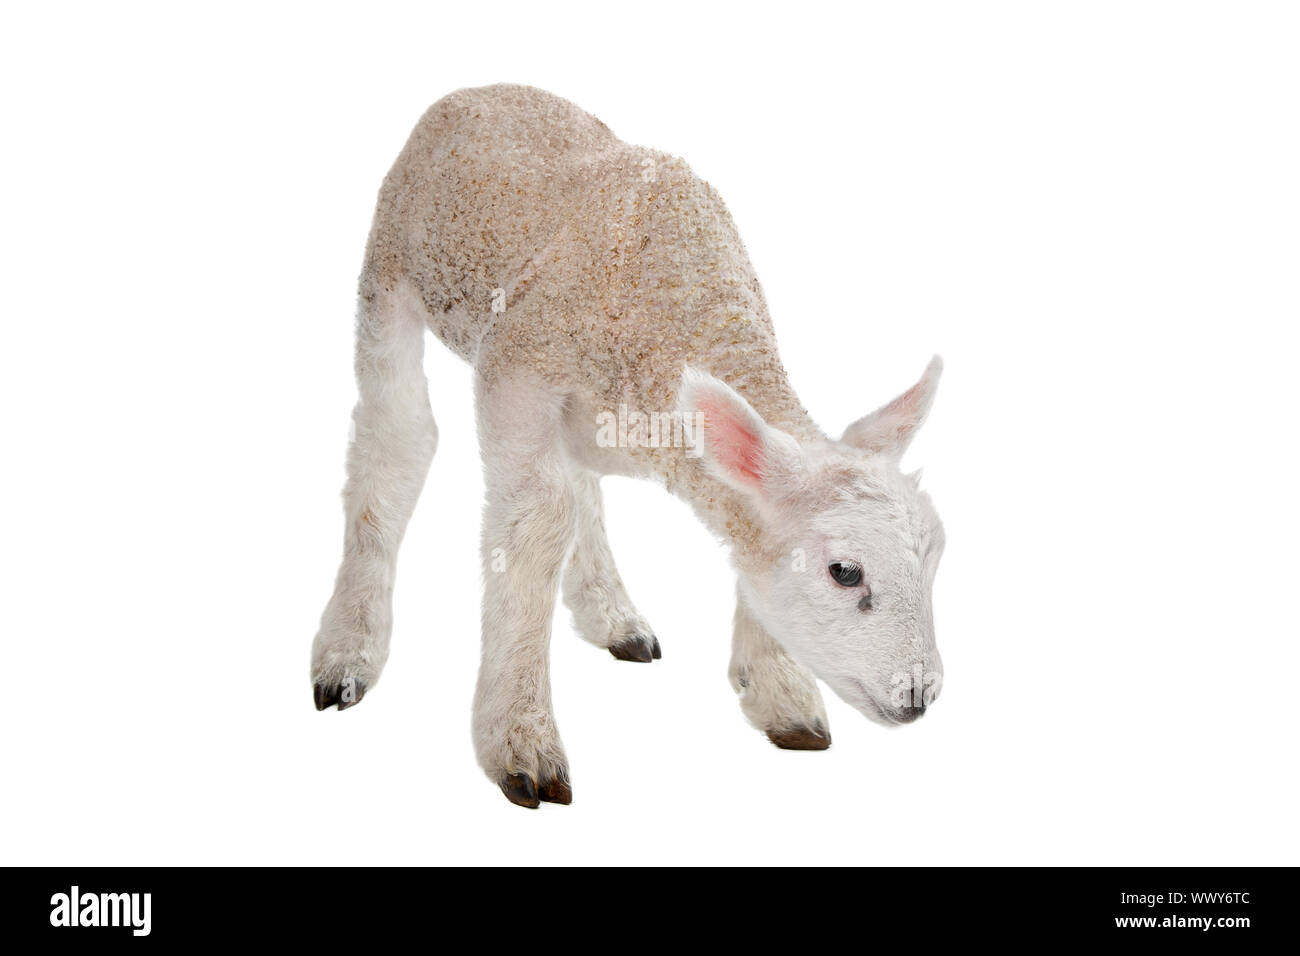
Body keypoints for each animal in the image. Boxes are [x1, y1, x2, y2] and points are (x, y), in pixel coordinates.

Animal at [311, 84, 945, 808]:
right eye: (845, 571)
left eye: (935, 564)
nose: (920, 696)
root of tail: (478, 90)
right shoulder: (516, 369)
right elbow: (534, 523)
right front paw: (520, 736)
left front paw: (778, 690)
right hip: (390, 266)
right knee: (399, 435)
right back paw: (350, 647)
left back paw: (613, 616)